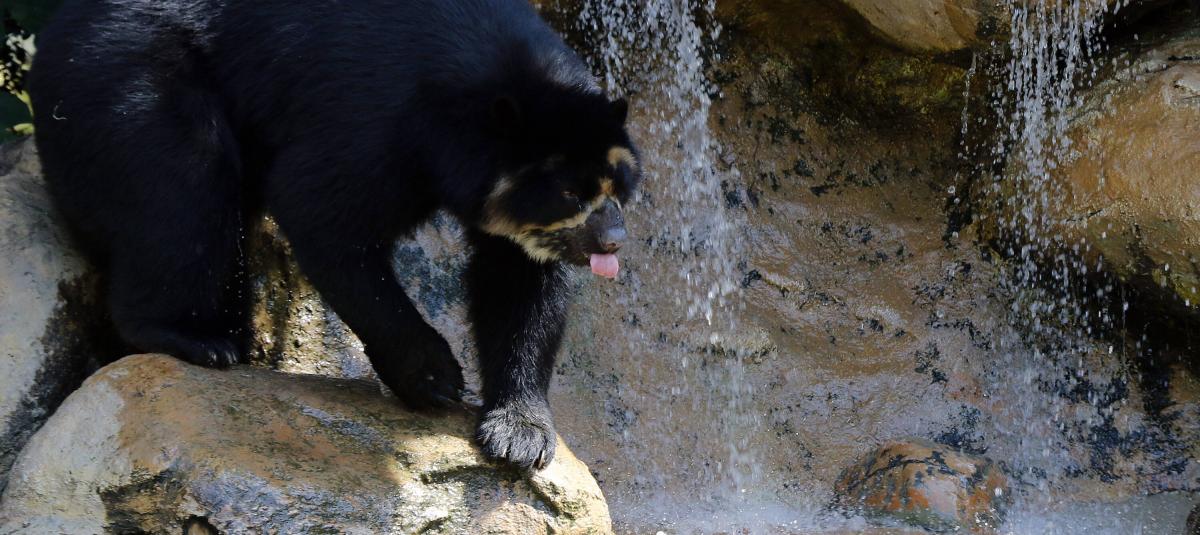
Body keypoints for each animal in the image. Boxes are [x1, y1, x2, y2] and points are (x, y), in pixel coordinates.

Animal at [28, 0, 640, 470]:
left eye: (620, 183)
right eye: (570, 193)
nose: (613, 242)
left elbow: (521, 284)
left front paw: (520, 436)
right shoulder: (378, 122)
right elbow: (323, 214)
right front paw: (434, 375)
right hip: (130, 77)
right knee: (183, 189)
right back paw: (196, 339)